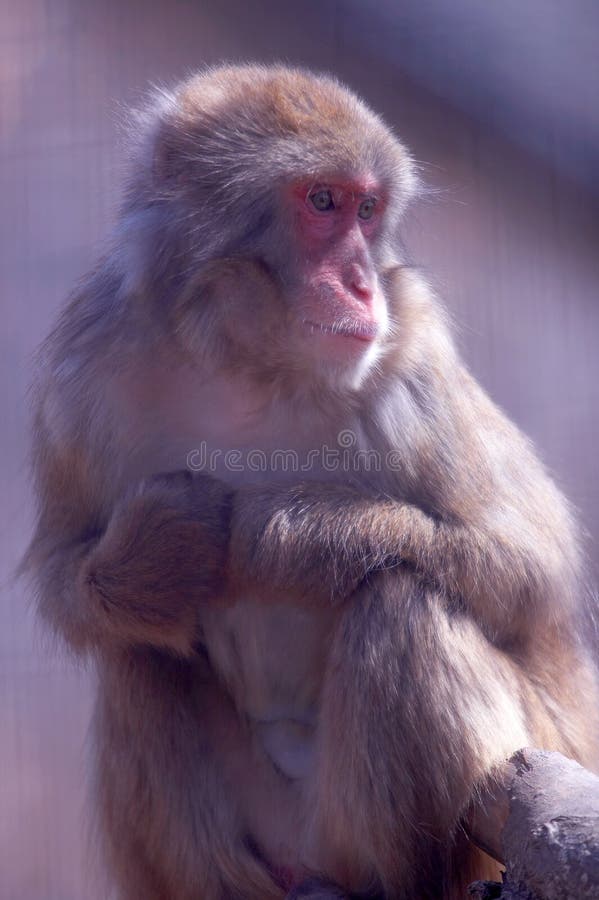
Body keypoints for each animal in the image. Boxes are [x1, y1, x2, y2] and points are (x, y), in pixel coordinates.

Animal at [26, 64, 599, 900]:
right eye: (321, 202)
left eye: (367, 210)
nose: (362, 283)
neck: (249, 366)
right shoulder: (84, 362)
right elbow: (62, 570)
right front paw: (157, 551)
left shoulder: (412, 352)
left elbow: (528, 569)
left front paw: (283, 535)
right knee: (138, 650)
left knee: (401, 597)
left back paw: (408, 877)